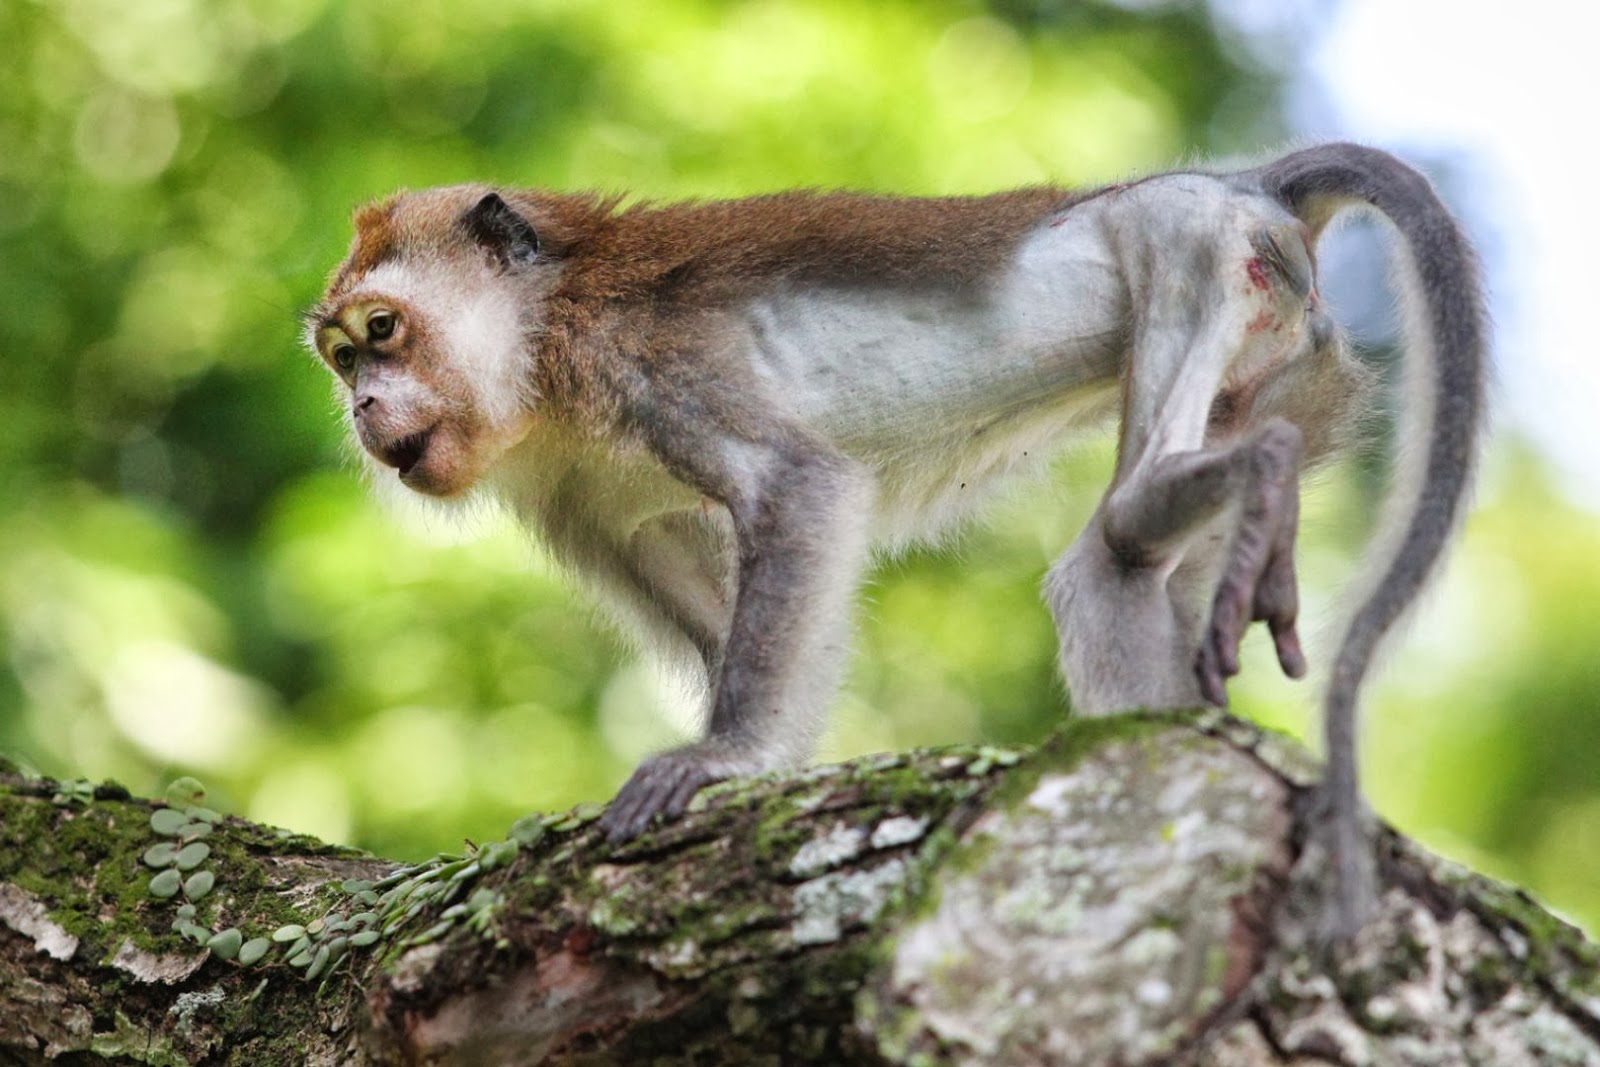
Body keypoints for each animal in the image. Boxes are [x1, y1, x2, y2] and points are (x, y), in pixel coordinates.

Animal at [306, 143, 1486, 940]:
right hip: (1290, 356)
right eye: (342, 356)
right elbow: (717, 612)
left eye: (383, 331)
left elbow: (801, 488)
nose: (362, 409)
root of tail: (1246, 183)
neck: (546, 337)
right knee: (1117, 566)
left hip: (1190, 251)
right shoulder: (575, 493)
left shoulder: (644, 358)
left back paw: (1256, 475)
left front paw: (722, 755)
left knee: (1116, 532)